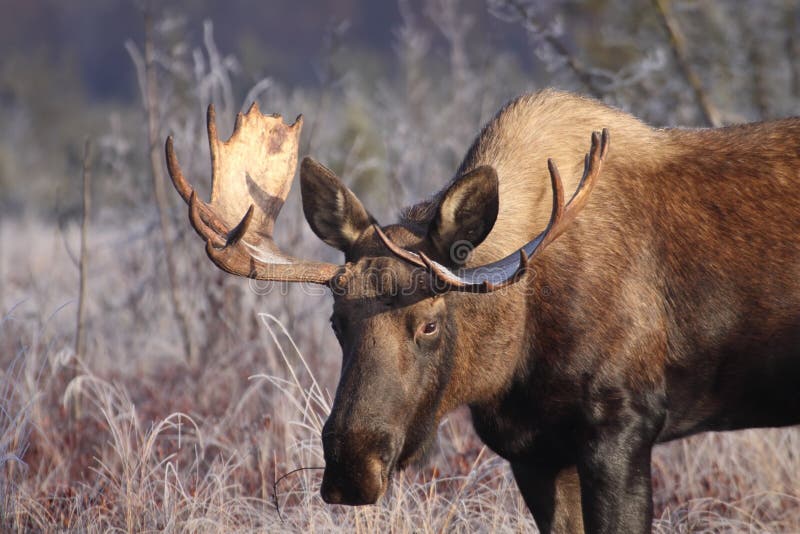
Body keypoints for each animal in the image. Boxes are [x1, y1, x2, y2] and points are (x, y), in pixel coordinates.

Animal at [166, 89, 800, 533]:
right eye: (336, 322)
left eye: (430, 322)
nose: (351, 467)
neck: (517, 357)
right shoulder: (533, 451)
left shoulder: (624, 426)